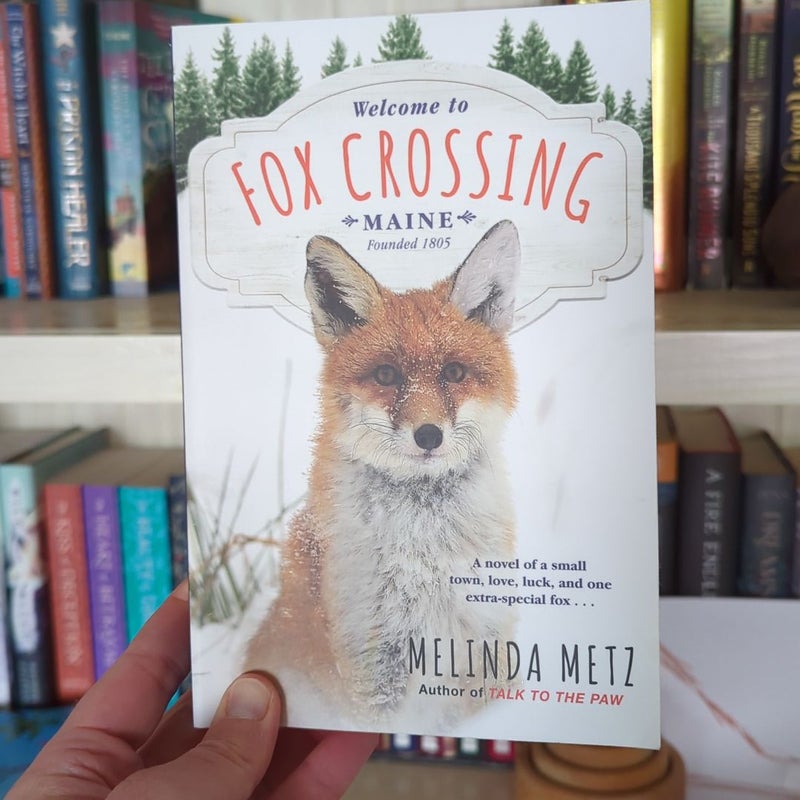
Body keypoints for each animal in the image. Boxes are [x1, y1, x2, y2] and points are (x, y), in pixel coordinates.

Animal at [244, 220, 521, 727]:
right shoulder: (371, 657)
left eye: (454, 372)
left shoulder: (483, 641)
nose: (428, 435)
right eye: (387, 375)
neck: (425, 556)